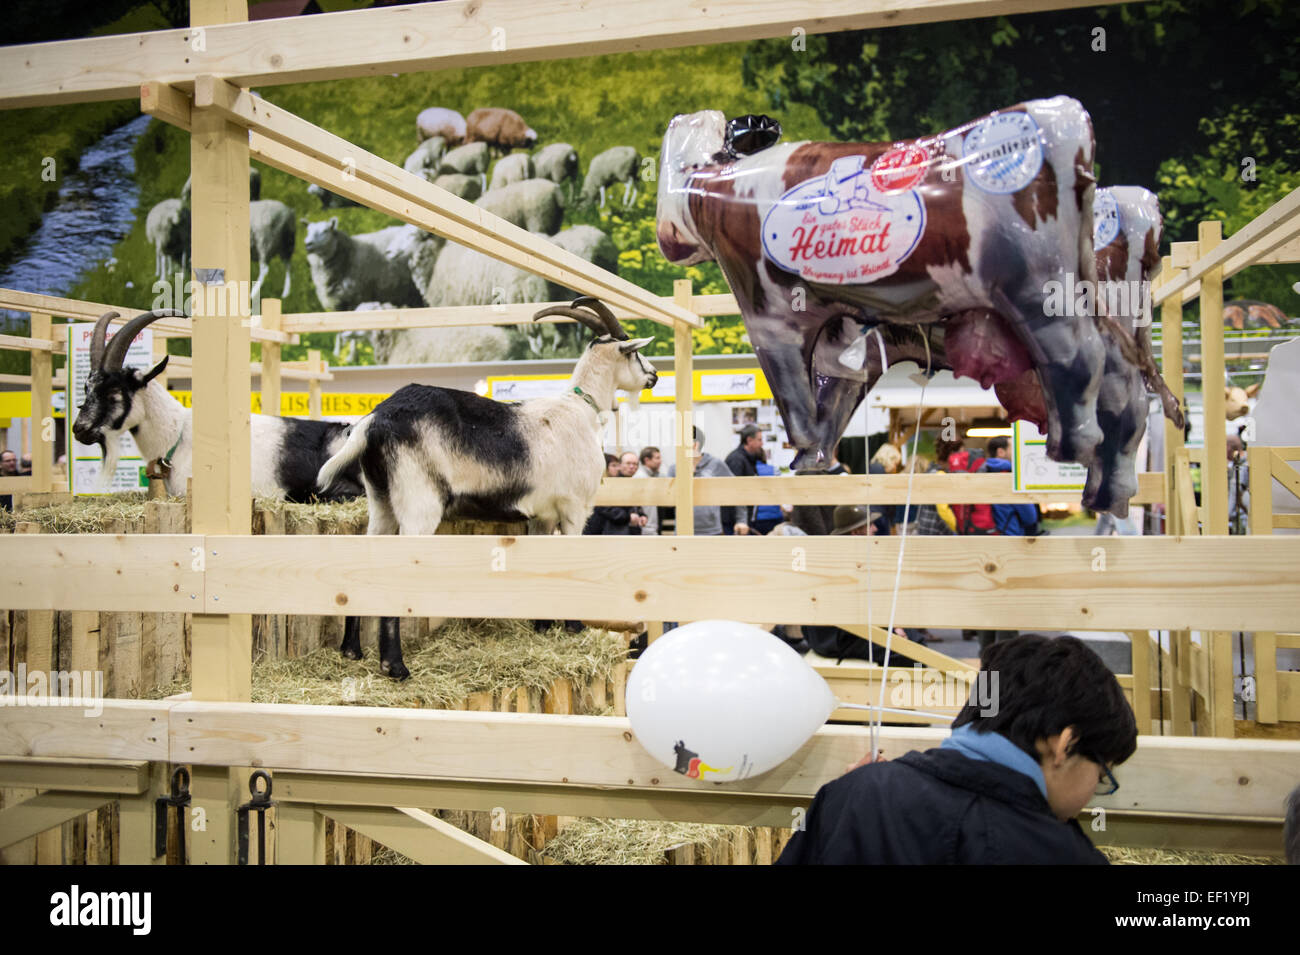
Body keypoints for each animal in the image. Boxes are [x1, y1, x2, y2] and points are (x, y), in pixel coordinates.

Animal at [317, 298, 657, 680]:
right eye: (634, 352)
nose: (654, 376)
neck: (579, 411)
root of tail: (375, 421)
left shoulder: (541, 515)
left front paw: (542, 627)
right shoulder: (574, 509)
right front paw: (574, 627)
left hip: (381, 502)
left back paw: (351, 650)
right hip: (419, 504)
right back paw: (395, 665)